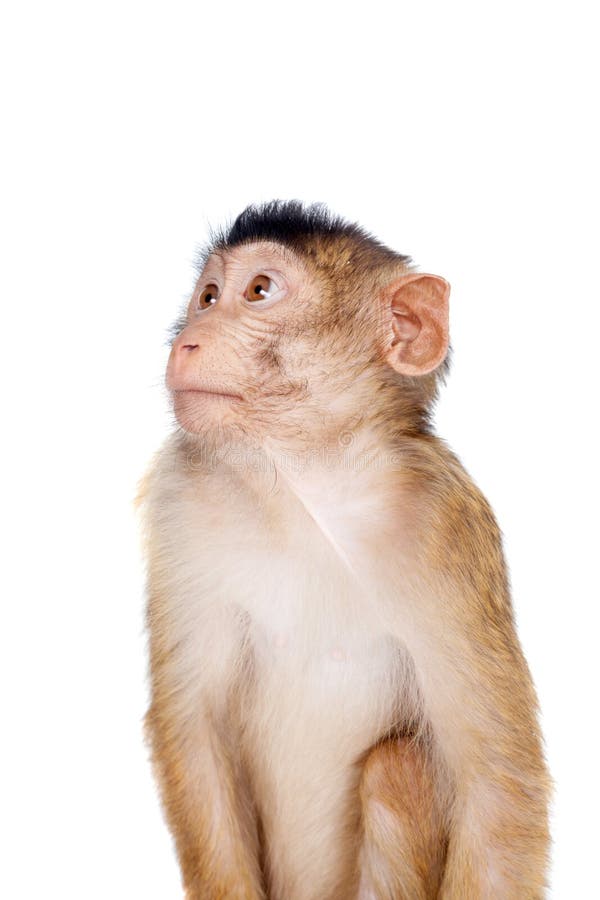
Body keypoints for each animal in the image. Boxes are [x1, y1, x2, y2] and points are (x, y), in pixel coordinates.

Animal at [138, 200, 551, 899]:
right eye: (208, 296)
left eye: (260, 291)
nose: (188, 341)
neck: (305, 480)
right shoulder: (181, 495)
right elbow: (194, 722)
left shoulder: (449, 524)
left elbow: (495, 782)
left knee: (398, 765)